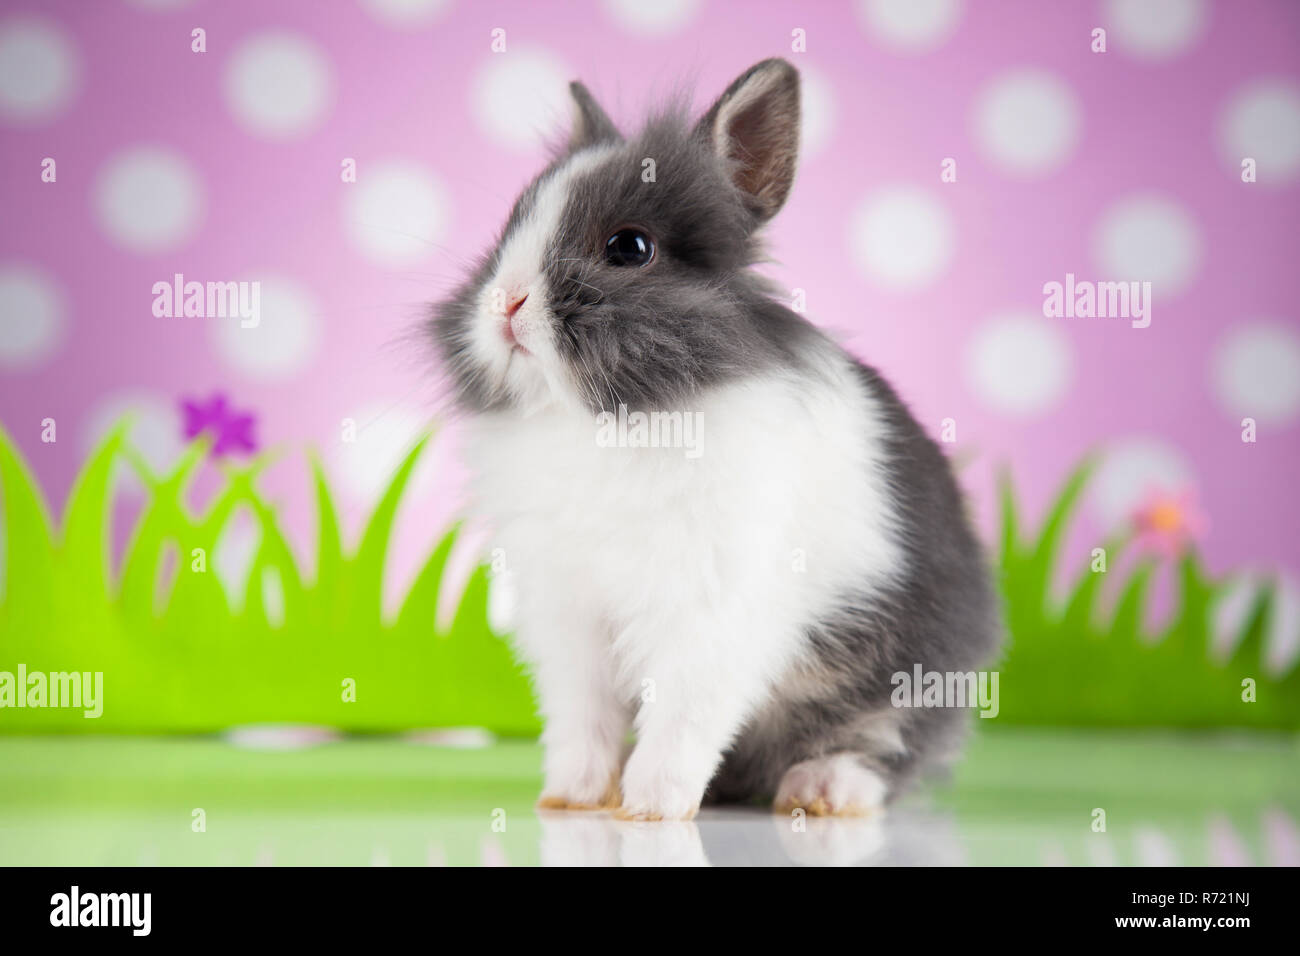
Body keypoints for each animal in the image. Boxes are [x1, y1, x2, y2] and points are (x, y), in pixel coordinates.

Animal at [432, 58, 1000, 821]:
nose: (506, 304)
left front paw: (652, 805)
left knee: (882, 745)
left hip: (908, 669)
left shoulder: (712, 613)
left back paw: (820, 790)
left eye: (630, 247)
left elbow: (685, 714)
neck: (612, 417)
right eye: (509, 228)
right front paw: (572, 798)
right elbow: (584, 717)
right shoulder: (572, 619)